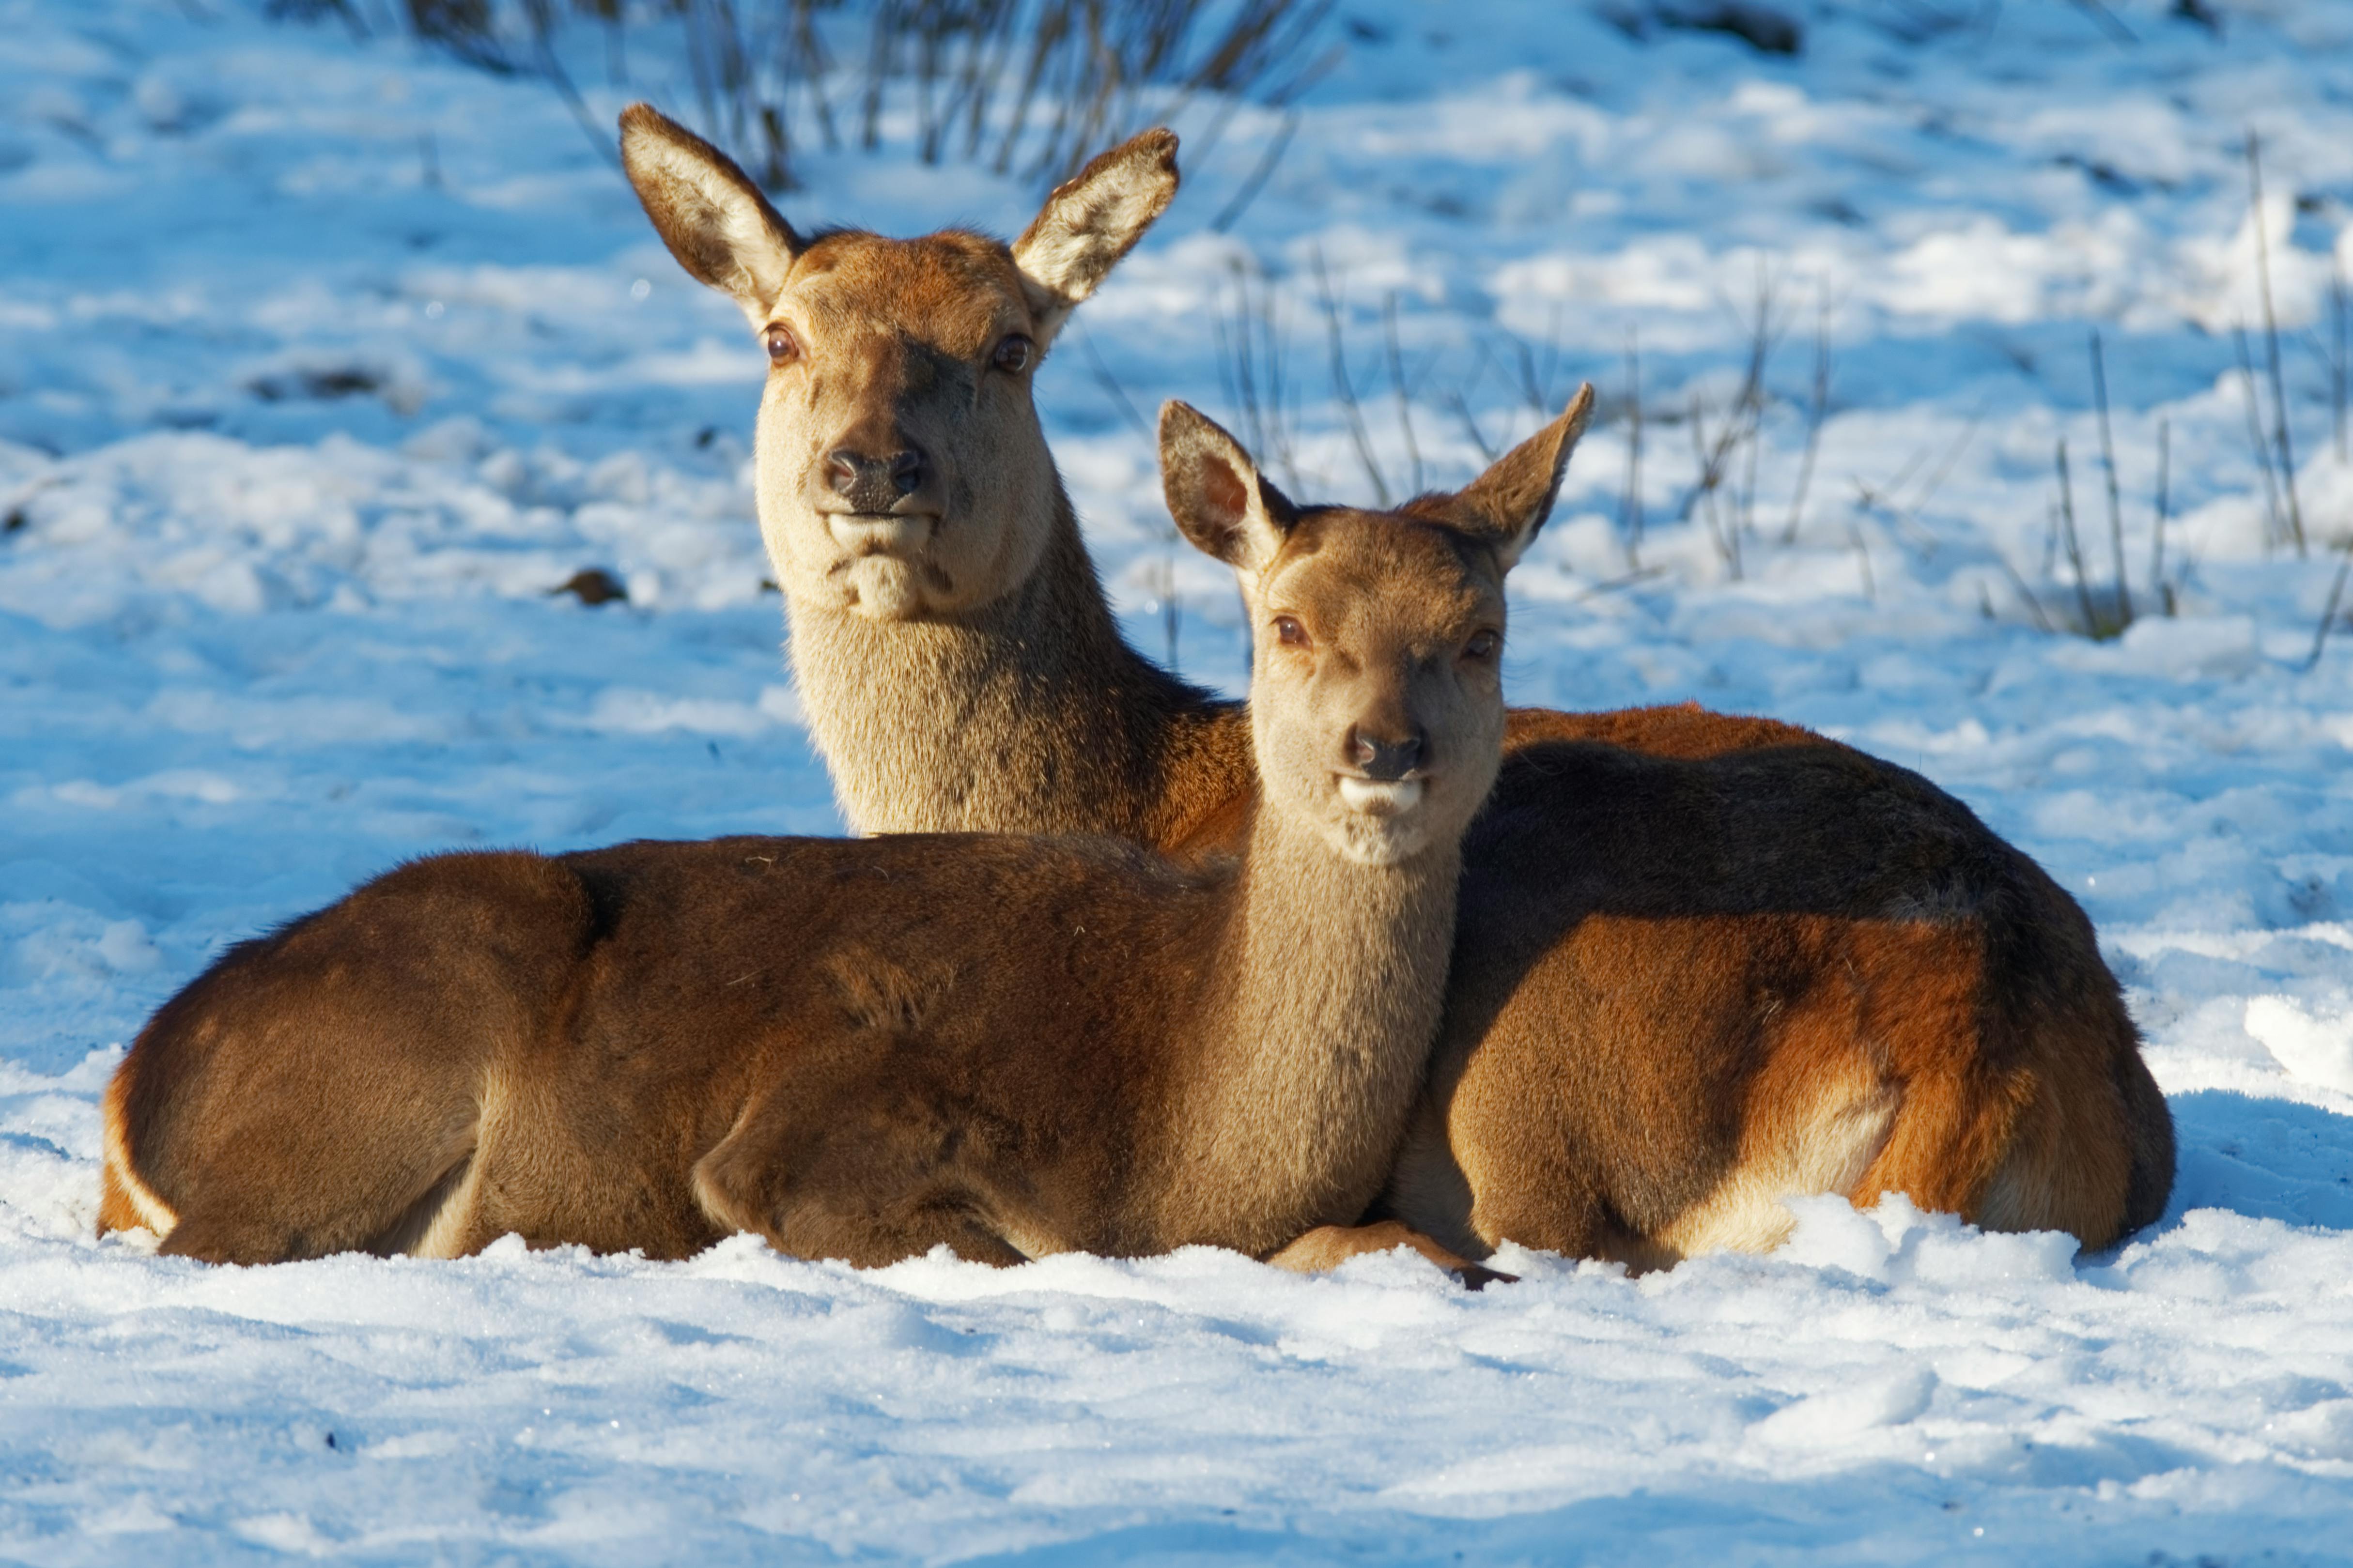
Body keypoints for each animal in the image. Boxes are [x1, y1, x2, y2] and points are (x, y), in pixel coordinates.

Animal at [96, 395, 1582, 1277]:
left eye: (1481, 635)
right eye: (1284, 623)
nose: (1382, 749)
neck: (1189, 1133)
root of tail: (129, 1090)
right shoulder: (822, 1123)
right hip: (365, 1082)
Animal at [612, 103, 2174, 1267]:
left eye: (1011, 341)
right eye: (782, 336)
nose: (873, 468)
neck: (1119, 784)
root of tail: (1989, 1050)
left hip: (1543, 1085)